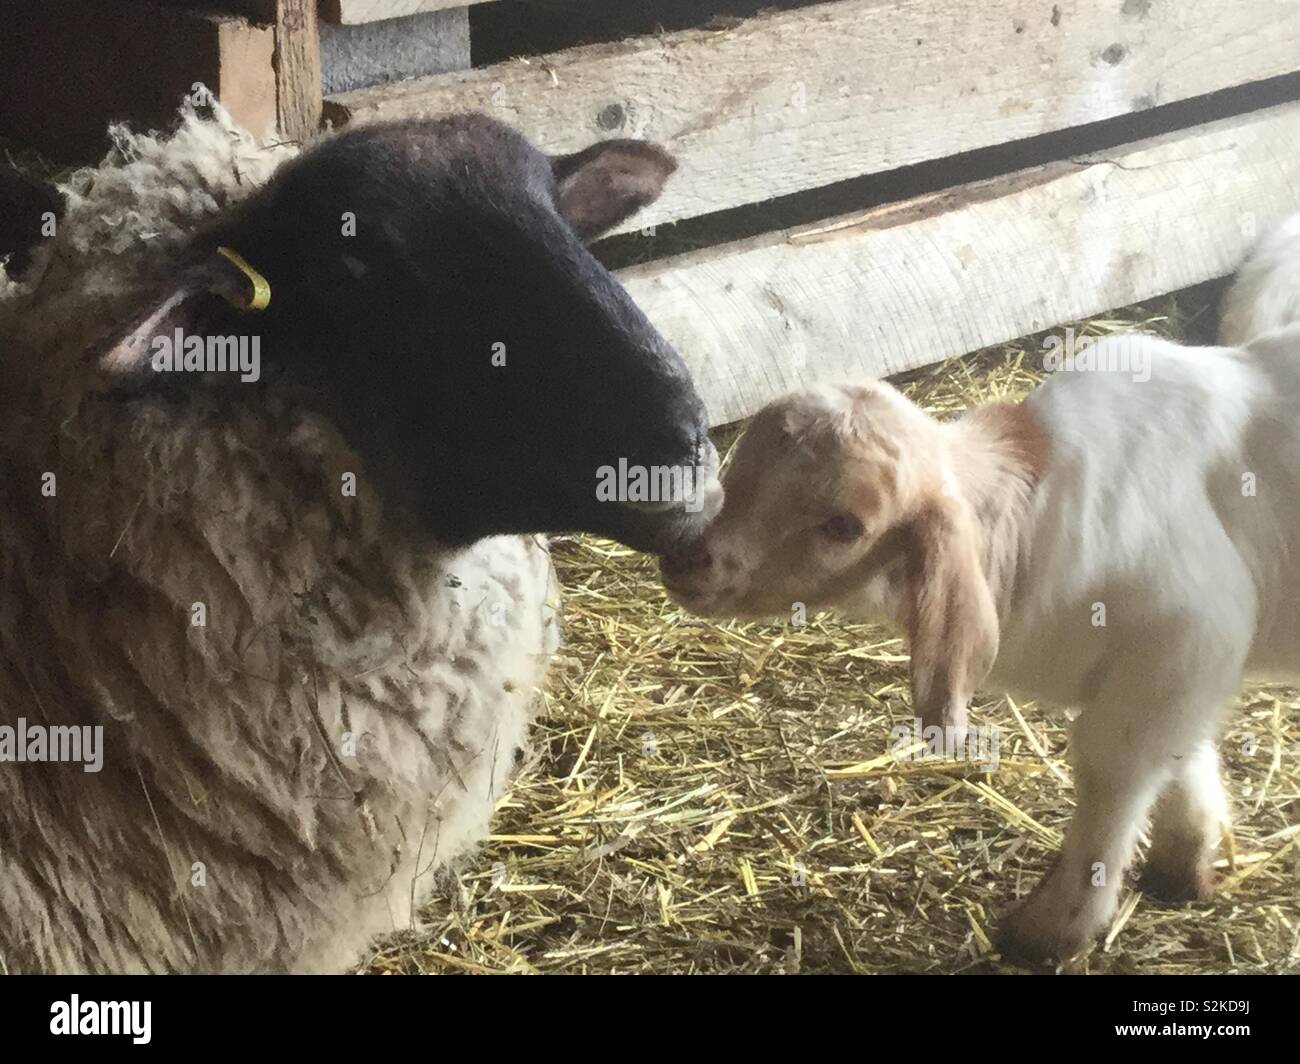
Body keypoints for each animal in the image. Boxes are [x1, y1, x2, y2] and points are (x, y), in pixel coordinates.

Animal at [660, 217, 1300, 964]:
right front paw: (1187, 858)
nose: (688, 558)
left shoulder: (1191, 633)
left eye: (844, 525)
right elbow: (1182, 756)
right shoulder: (1180, 664)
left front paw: (1053, 927)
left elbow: (1114, 767)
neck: (1031, 521)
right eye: (743, 461)